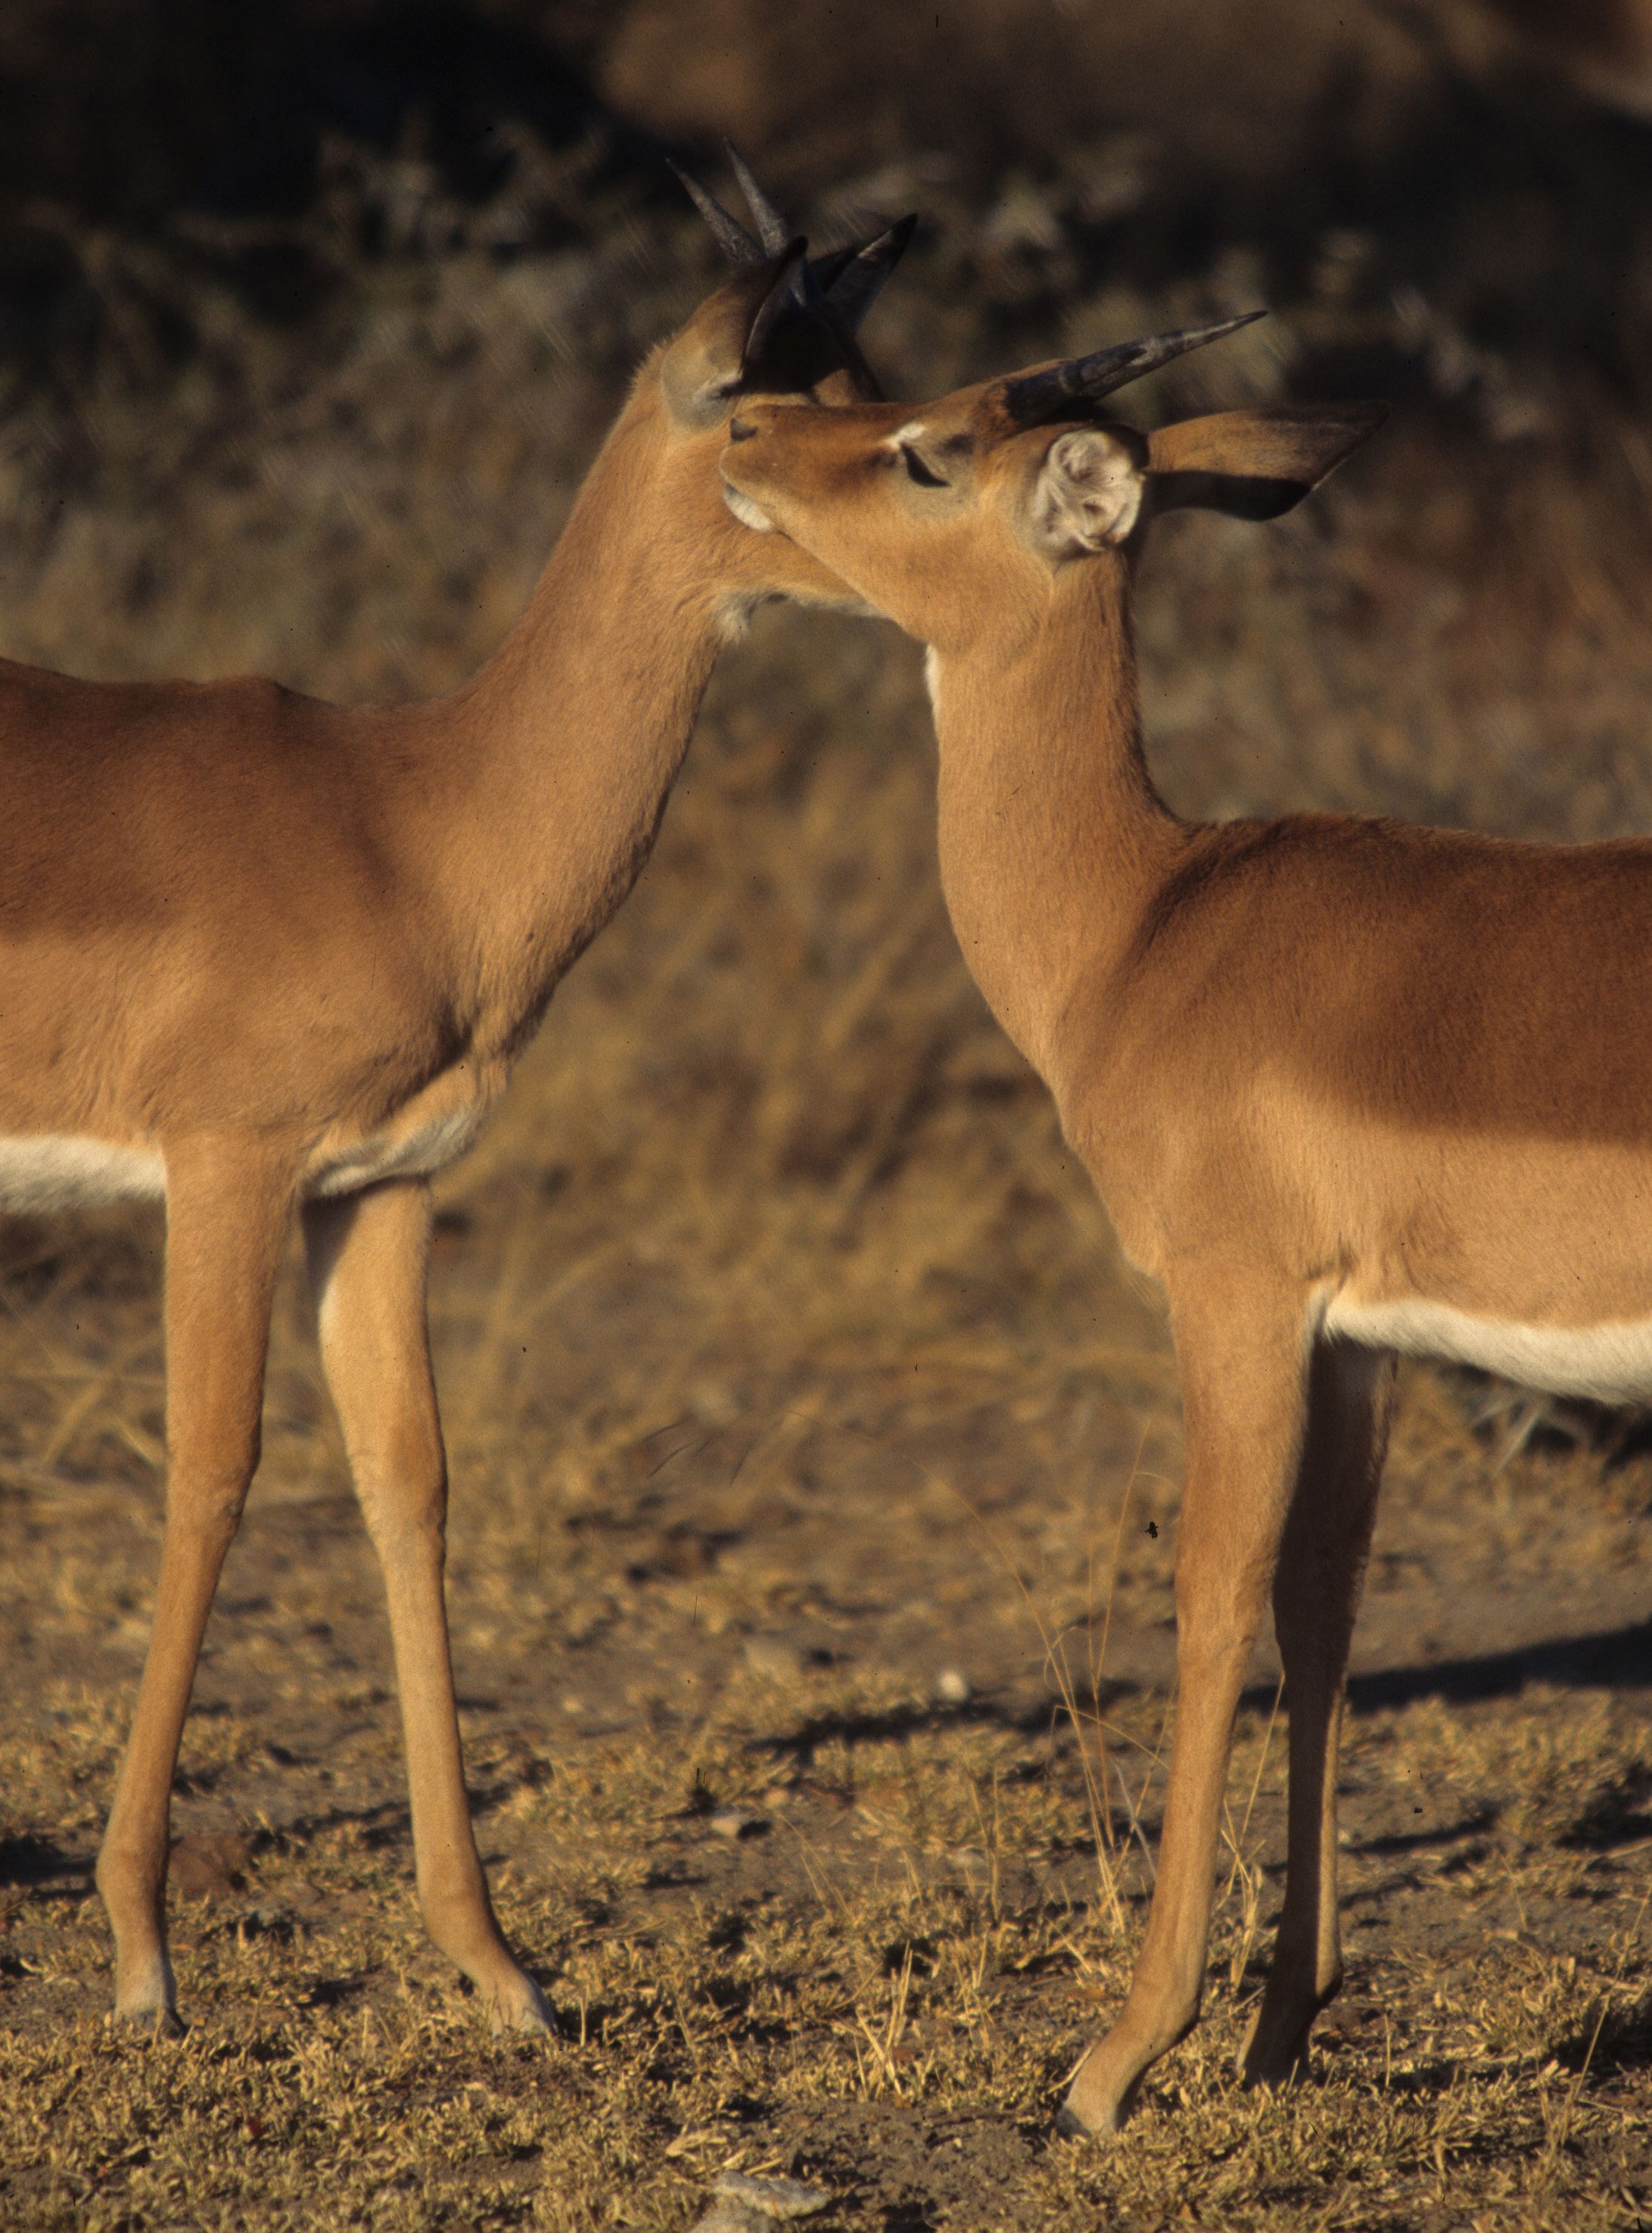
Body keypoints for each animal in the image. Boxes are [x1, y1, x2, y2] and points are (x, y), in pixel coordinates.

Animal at [0, 157, 912, 2038]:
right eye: (769, 416)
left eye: (878, 390)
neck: (416, 821)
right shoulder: (228, 1164)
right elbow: (211, 1469)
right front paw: (140, 1956)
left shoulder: (380, 1186)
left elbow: (405, 1486)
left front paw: (497, 1963)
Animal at [713, 328, 1647, 2136]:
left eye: (927, 449)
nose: (745, 426)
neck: (1139, 925)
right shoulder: (1358, 1341)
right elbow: (1320, 1608)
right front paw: (1282, 2022)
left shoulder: (1231, 1301)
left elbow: (1206, 1601)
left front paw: (1113, 2056)